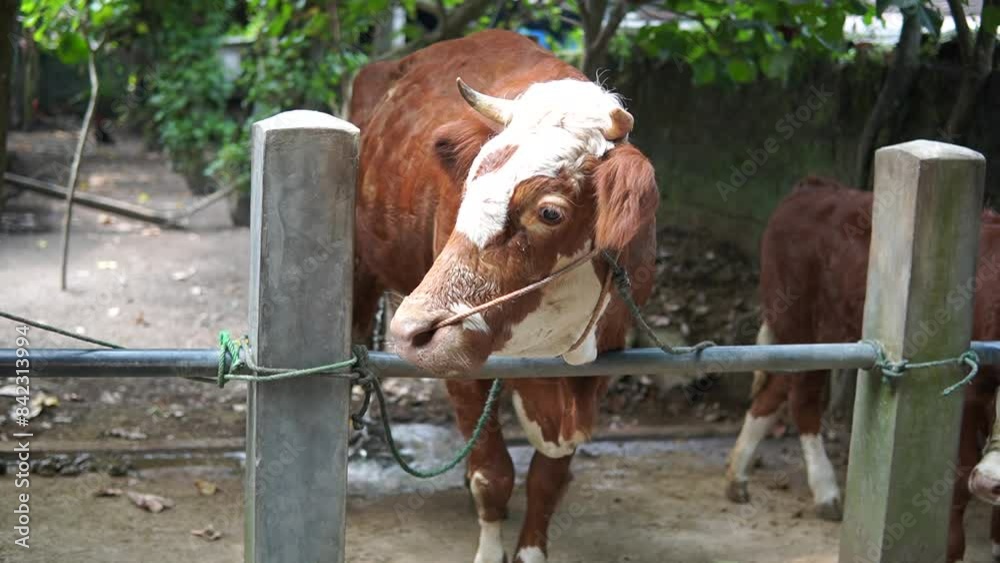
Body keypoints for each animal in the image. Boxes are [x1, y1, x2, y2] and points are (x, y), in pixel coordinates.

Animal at [348, 30, 659, 563]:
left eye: (550, 212)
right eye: (468, 190)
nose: (411, 332)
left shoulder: (602, 364)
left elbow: (547, 481)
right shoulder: (460, 367)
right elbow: (493, 474)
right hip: (359, 262)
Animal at [723, 177, 1000, 563]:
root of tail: (813, 186)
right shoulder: (970, 390)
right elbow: (959, 479)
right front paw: (952, 549)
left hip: (800, 338)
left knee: (774, 390)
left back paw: (737, 477)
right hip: (806, 327)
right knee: (801, 397)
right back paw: (825, 492)